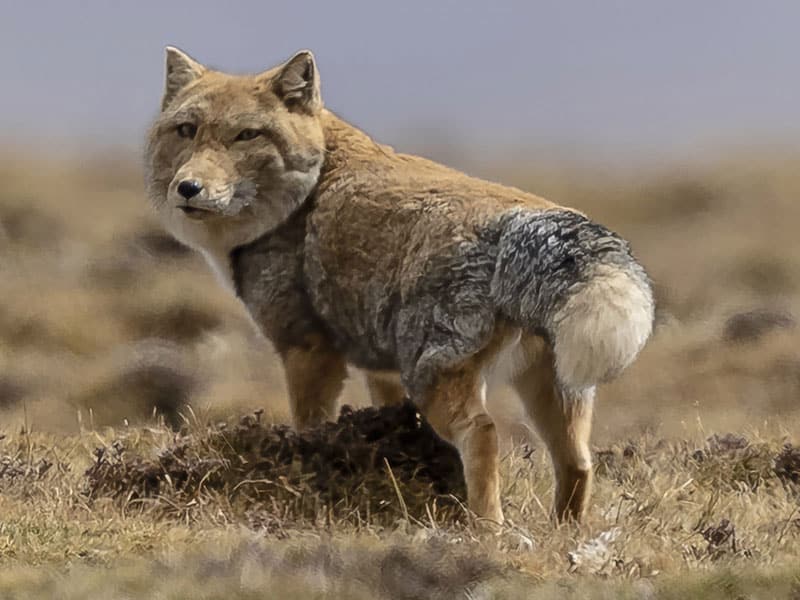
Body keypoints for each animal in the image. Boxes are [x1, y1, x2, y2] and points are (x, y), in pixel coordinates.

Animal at [144, 47, 654, 524]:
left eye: (246, 135)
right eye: (186, 130)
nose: (188, 188)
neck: (309, 187)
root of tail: (522, 219)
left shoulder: (306, 351)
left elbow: (309, 430)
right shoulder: (380, 369)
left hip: (435, 380)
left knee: (485, 433)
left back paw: (486, 528)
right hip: (553, 391)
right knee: (579, 463)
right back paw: (563, 532)